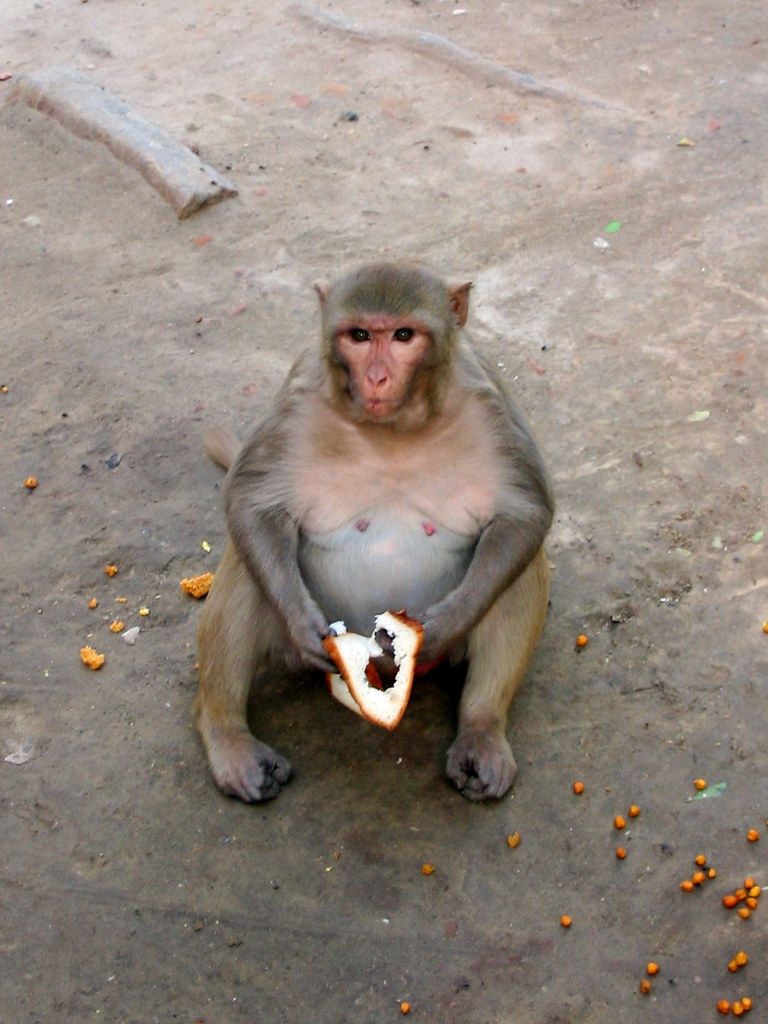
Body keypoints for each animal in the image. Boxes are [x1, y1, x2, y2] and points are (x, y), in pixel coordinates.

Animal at [194, 263, 554, 803]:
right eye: (359, 336)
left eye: (403, 335)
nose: (377, 377)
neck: (396, 428)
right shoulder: (298, 394)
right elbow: (251, 502)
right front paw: (304, 625)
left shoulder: (491, 401)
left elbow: (525, 514)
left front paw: (441, 625)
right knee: (244, 561)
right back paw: (228, 735)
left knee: (522, 566)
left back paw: (482, 728)